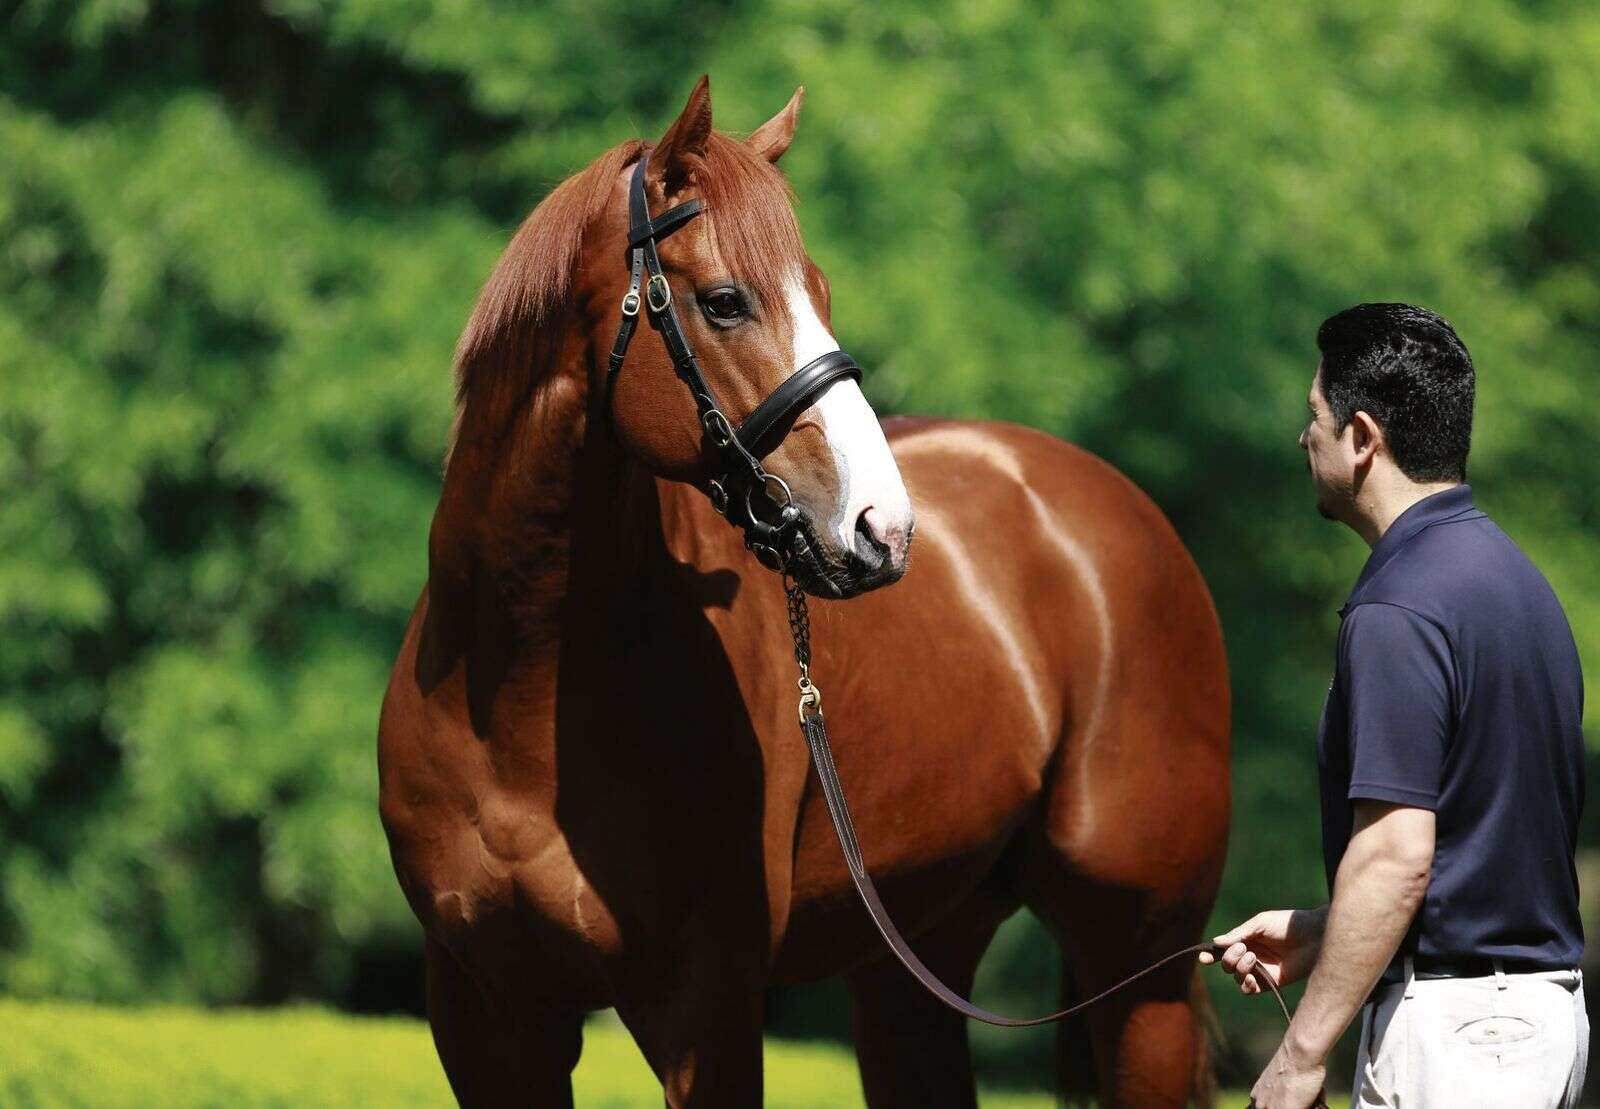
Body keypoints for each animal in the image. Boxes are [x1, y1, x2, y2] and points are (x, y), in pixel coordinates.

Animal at [378, 76, 1231, 1108]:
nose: (881, 528)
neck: (519, 696)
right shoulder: (489, 1019)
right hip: (914, 966)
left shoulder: (705, 1009)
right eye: (725, 301)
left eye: (819, 291)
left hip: (1141, 975)